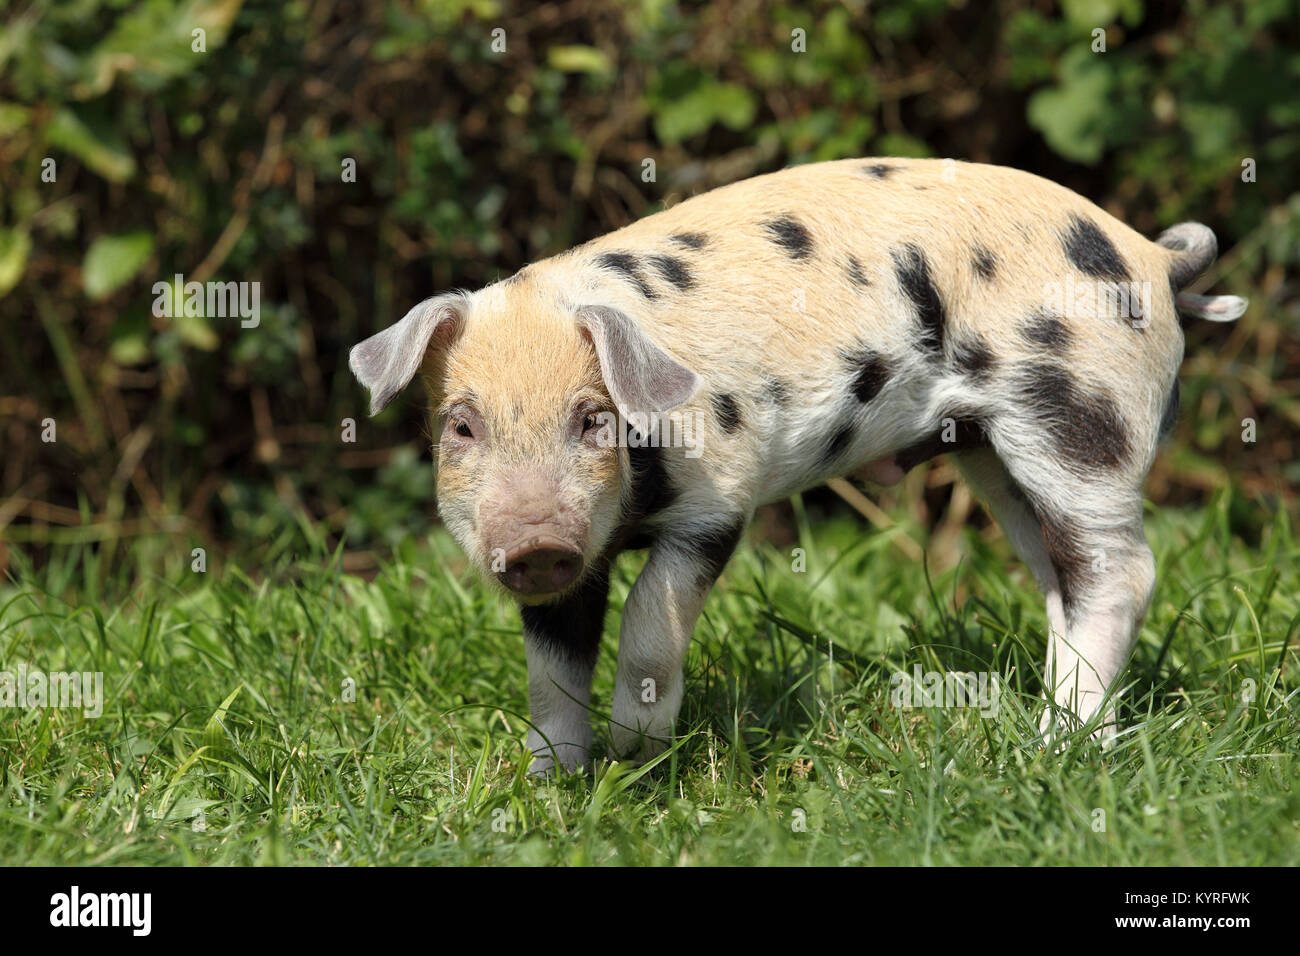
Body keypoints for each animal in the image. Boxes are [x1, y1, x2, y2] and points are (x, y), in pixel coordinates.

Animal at [349, 158, 1247, 774]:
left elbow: (648, 622)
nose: (535, 539)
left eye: (593, 417)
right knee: (1066, 580)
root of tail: (1155, 257)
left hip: (1082, 416)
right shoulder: (574, 569)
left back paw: (1059, 748)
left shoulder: (721, 496)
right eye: (461, 426)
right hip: (993, 452)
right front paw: (554, 781)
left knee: (1123, 570)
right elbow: (552, 670)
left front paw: (638, 750)